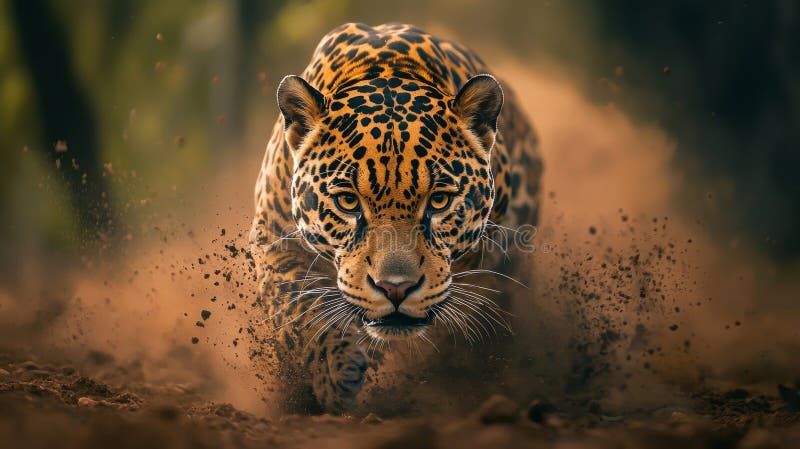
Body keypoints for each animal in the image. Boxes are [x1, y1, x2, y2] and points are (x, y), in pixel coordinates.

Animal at [248, 22, 542, 414]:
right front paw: (333, 373)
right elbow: (296, 307)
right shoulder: (273, 238)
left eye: (439, 200)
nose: (396, 288)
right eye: (347, 201)